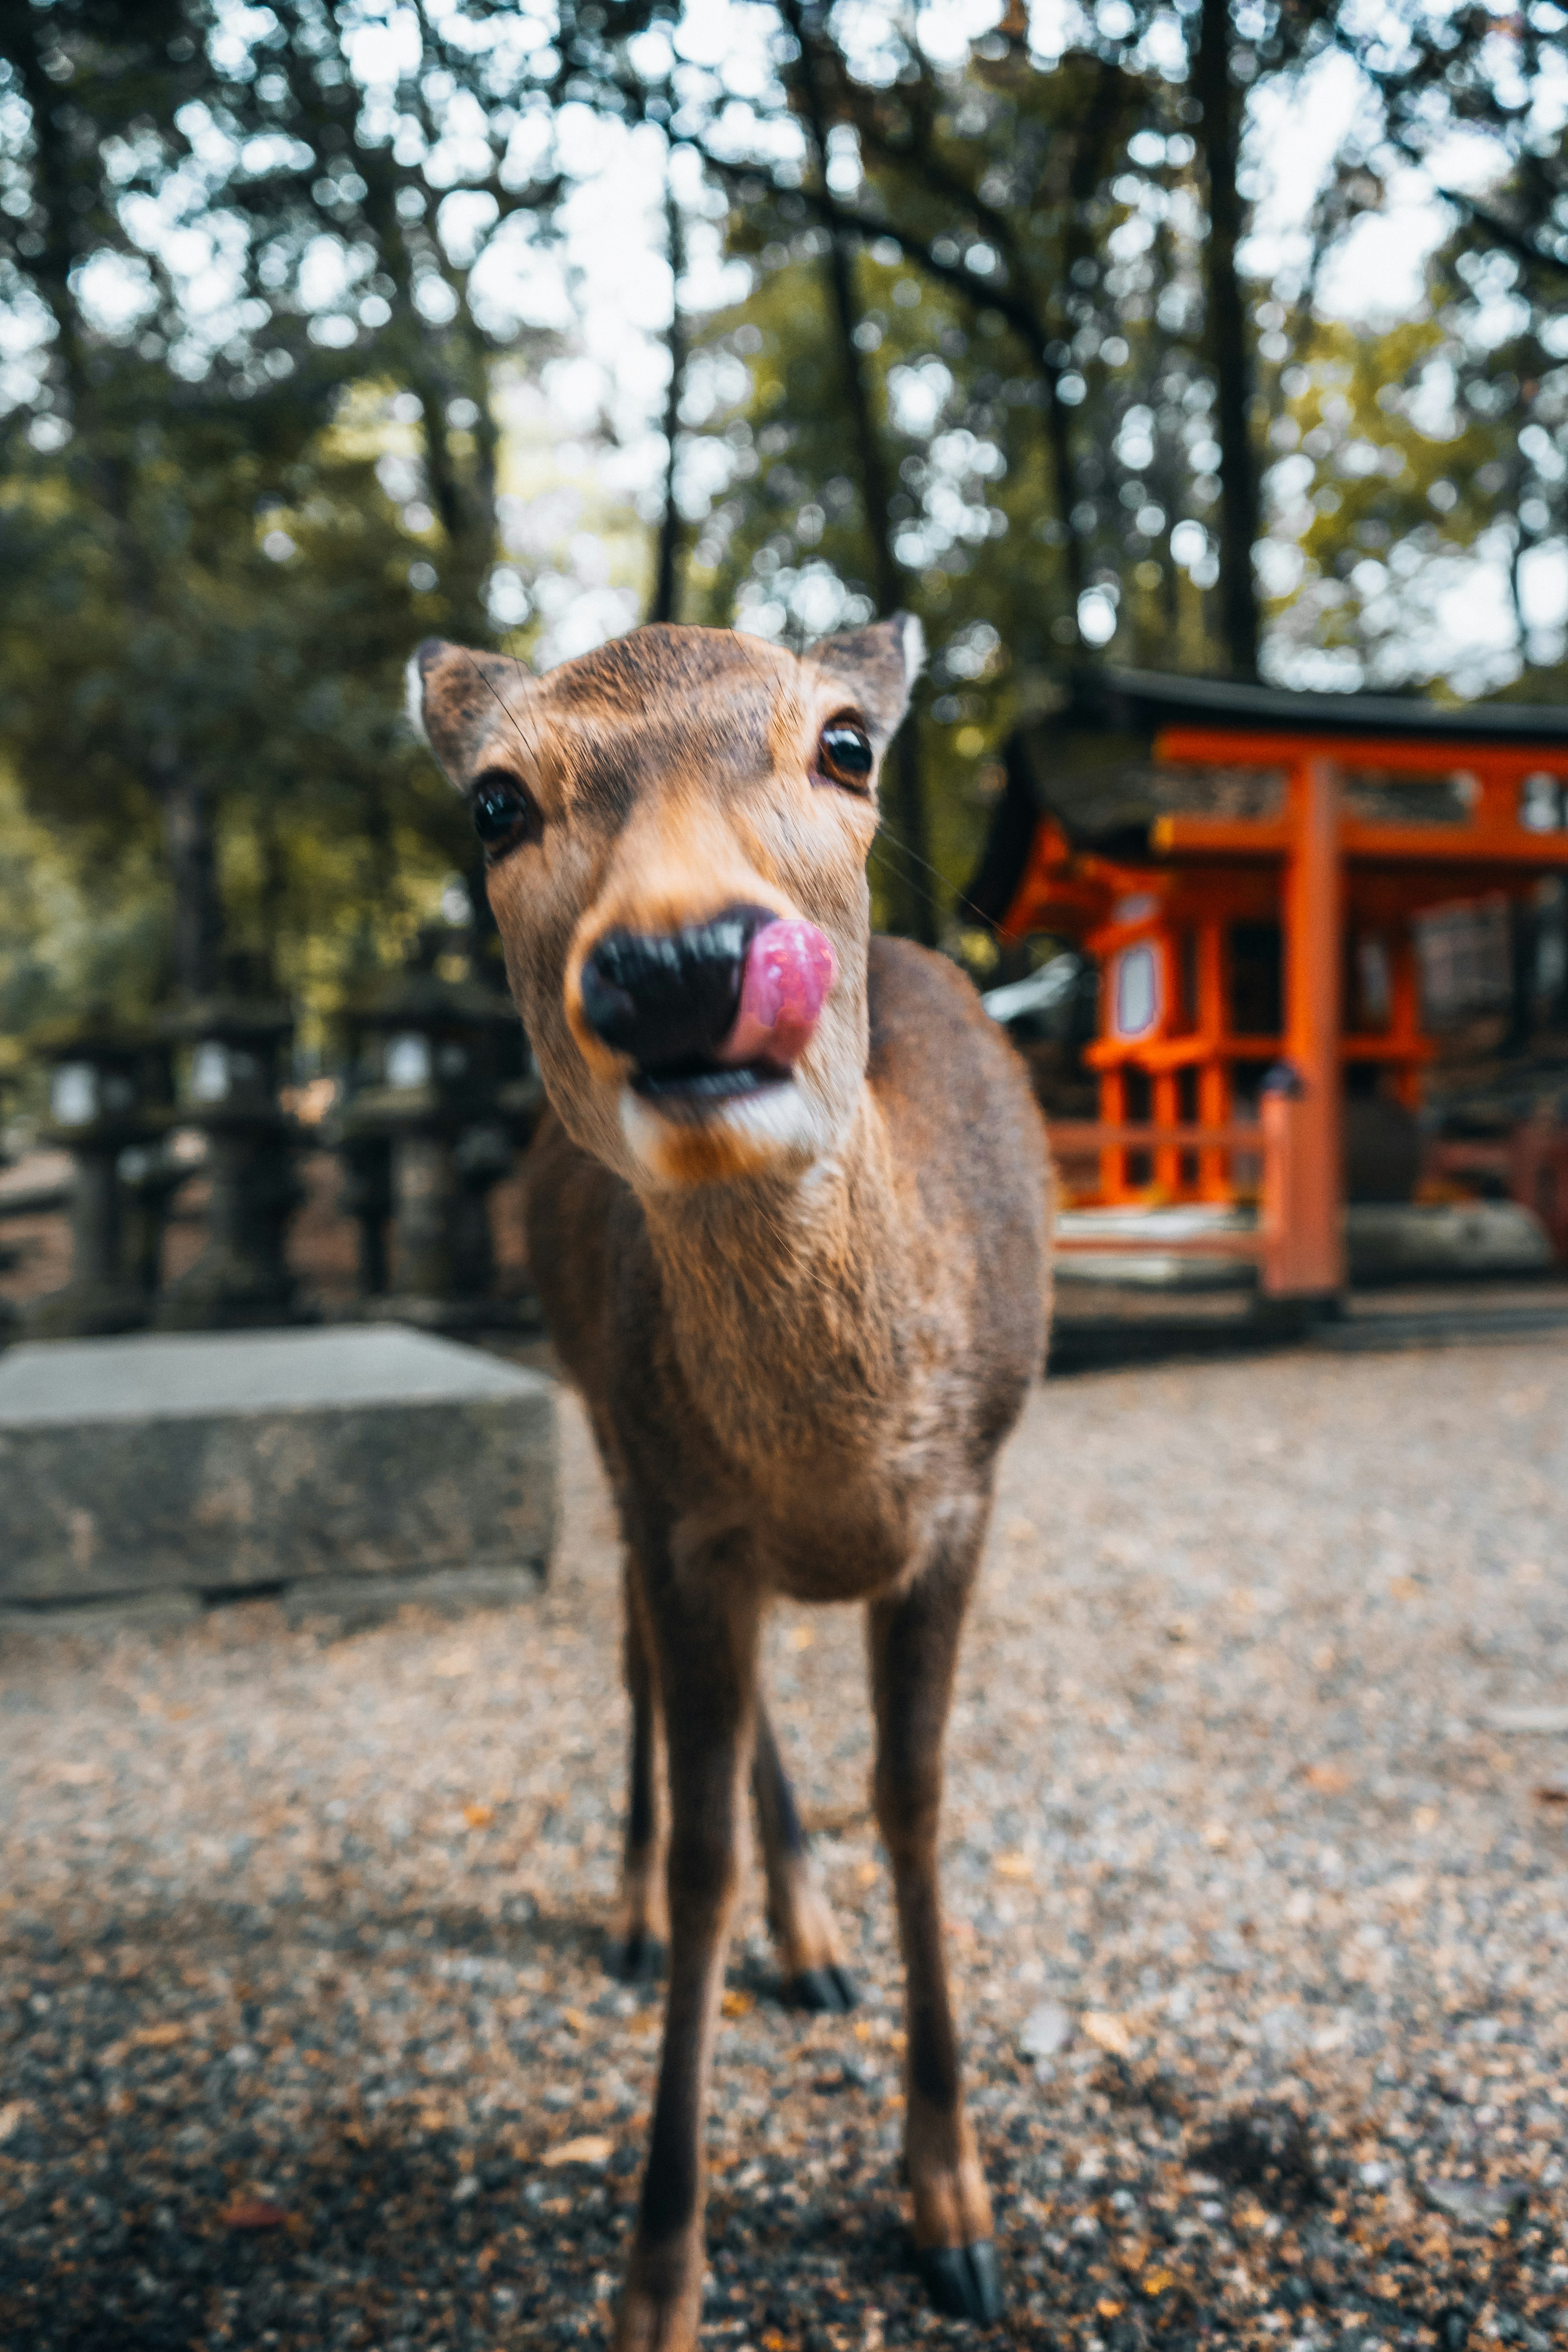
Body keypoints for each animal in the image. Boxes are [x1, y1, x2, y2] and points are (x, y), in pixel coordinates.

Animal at [406, 616, 1052, 2346]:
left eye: (847, 745)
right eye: (496, 799)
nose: (679, 959)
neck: (846, 1461)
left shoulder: (968, 1491)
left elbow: (914, 1799)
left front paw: (955, 2210)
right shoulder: (681, 1510)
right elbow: (703, 1855)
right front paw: (655, 2279)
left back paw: (815, 1939)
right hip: (607, 1436)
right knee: (640, 1669)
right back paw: (643, 1913)